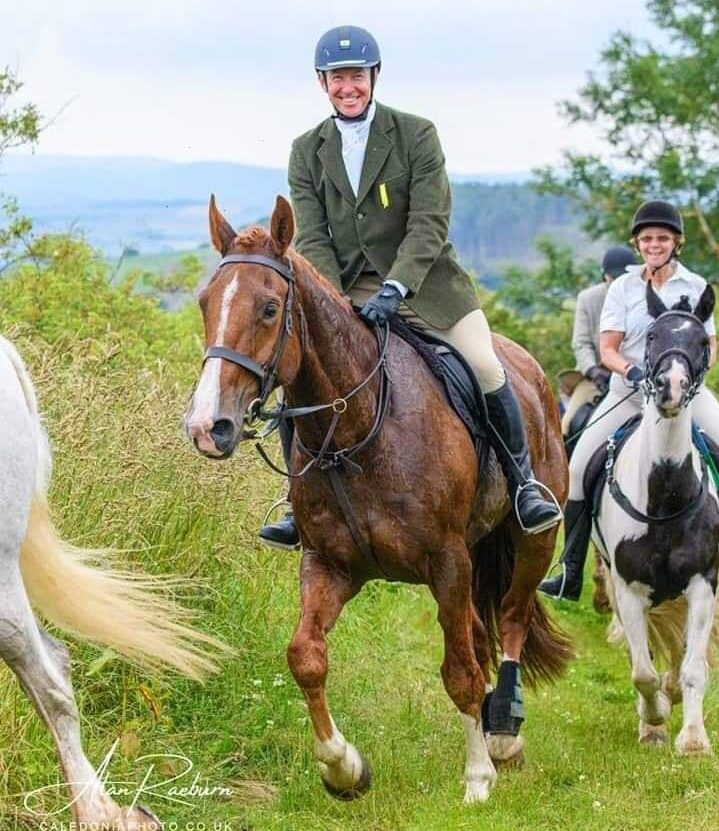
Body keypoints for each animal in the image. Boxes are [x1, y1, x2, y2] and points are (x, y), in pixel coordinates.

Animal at [185, 195, 572, 804]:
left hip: (532, 539)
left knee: (509, 620)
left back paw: (504, 735)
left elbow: (458, 671)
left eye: (270, 309)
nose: (207, 427)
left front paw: (476, 777)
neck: (357, 428)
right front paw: (343, 768)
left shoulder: (447, 560)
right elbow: (305, 656)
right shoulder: (330, 563)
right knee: (479, 632)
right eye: (206, 302)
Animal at [594, 282, 719, 751]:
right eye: (651, 336)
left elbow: (693, 666)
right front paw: (653, 721)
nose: (672, 386)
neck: (665, 498)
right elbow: (641, 671)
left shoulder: (703, 583)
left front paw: (694, 738)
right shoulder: (629, 589)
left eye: (702, 342)